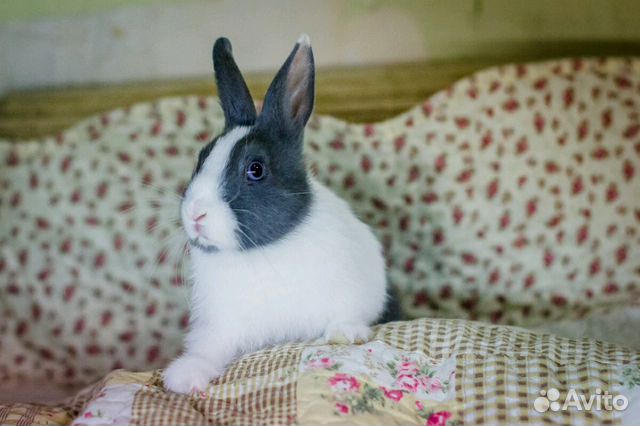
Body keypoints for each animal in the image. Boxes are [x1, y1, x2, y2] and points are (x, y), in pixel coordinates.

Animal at [163, 35, 397, 394]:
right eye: (201, 157)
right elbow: (208, 347)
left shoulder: (354, 289)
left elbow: (348, 311)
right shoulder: (220, 324)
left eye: (256, 169)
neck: (263, 253)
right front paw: (184, 376)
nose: (195, 215)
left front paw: (346, 333)